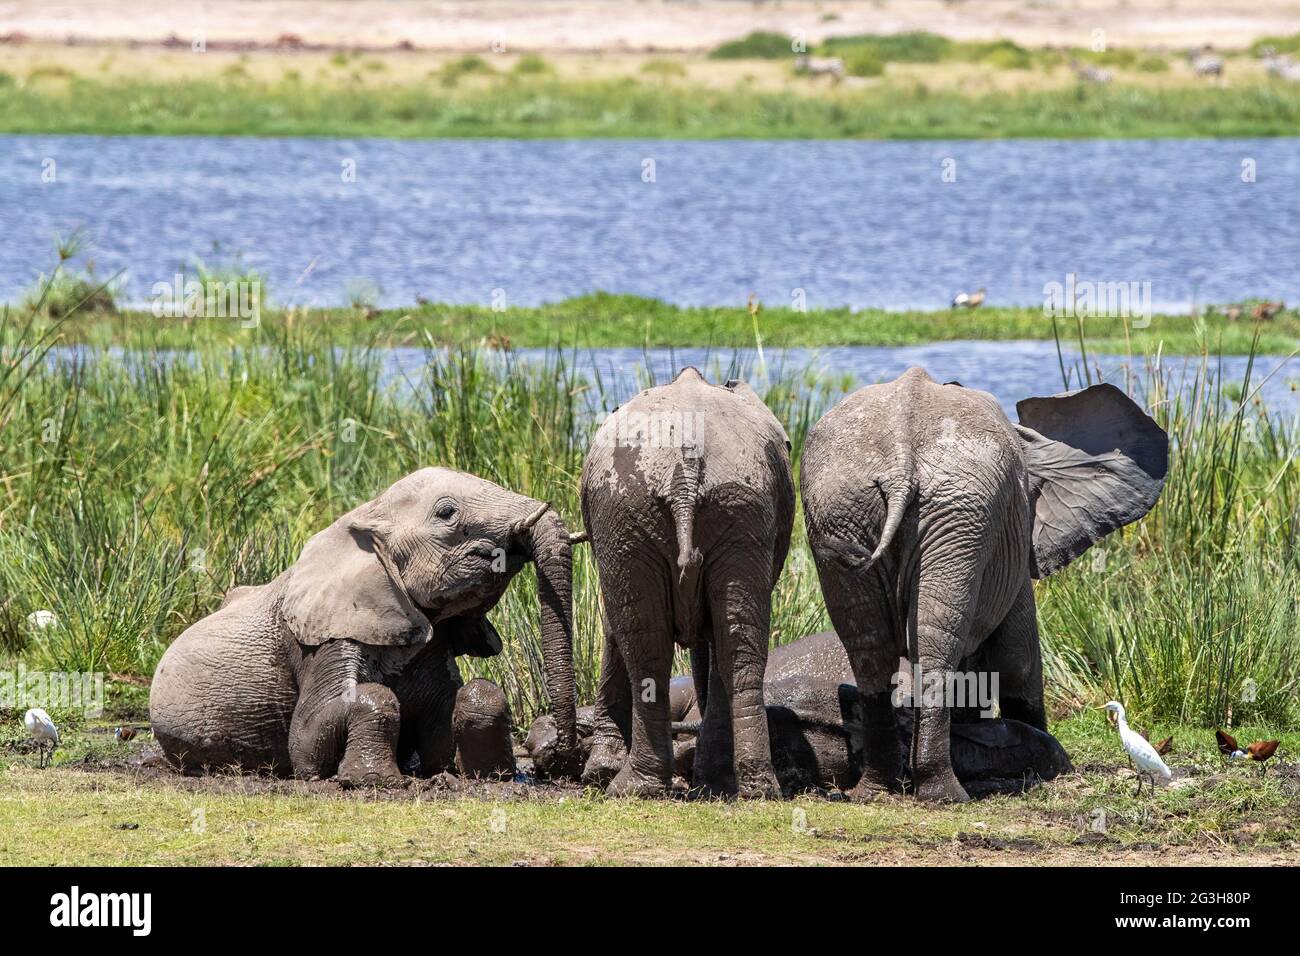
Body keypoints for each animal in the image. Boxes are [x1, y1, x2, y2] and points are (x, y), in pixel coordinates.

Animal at [150, 467, 580, 787]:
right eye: (446, 513)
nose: (557, 761)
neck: (366, 514)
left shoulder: (429, 641)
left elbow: (465, 709)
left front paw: (490, 776)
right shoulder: (324, 640)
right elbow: (307, 742)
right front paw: (374, 782)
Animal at [579, 367, 796, 798]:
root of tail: (685, 474)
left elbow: (614, 626)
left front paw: (598, 774)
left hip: (642, 508)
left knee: (653, 643)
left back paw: (634, 787)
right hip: (720, 508)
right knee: (735, 643)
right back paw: (752, 788)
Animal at [801, 368, 1167, 802]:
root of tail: (900, 464)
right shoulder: (1013, 547)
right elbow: (1018, 660)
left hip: (845, 506)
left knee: (872, 645)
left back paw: (876, 790)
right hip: (960, 514)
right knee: (939, 642)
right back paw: (945, 794)